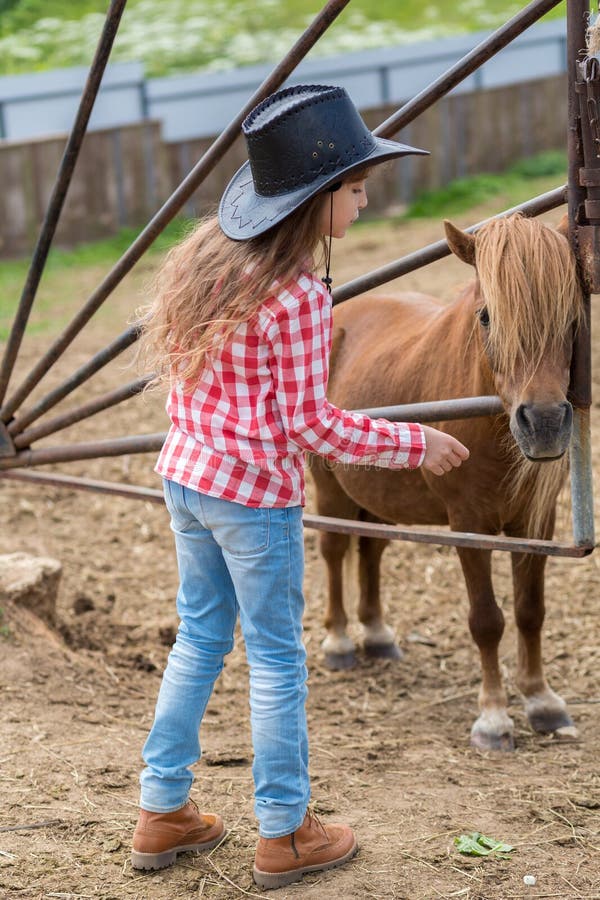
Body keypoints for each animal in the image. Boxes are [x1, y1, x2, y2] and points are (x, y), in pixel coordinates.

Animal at [310, 213, 583, 751]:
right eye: (486, 317)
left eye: (572, 315)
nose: (543, 424)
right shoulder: (468, 524)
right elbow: (487, 619)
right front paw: (494, 718)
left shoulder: (537, 523)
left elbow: (530, 610)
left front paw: (542, 702)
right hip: (328, 487)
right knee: (334, 550)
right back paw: (339, 643)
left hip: (379, 495)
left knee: (371, 551)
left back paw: (378, 636)